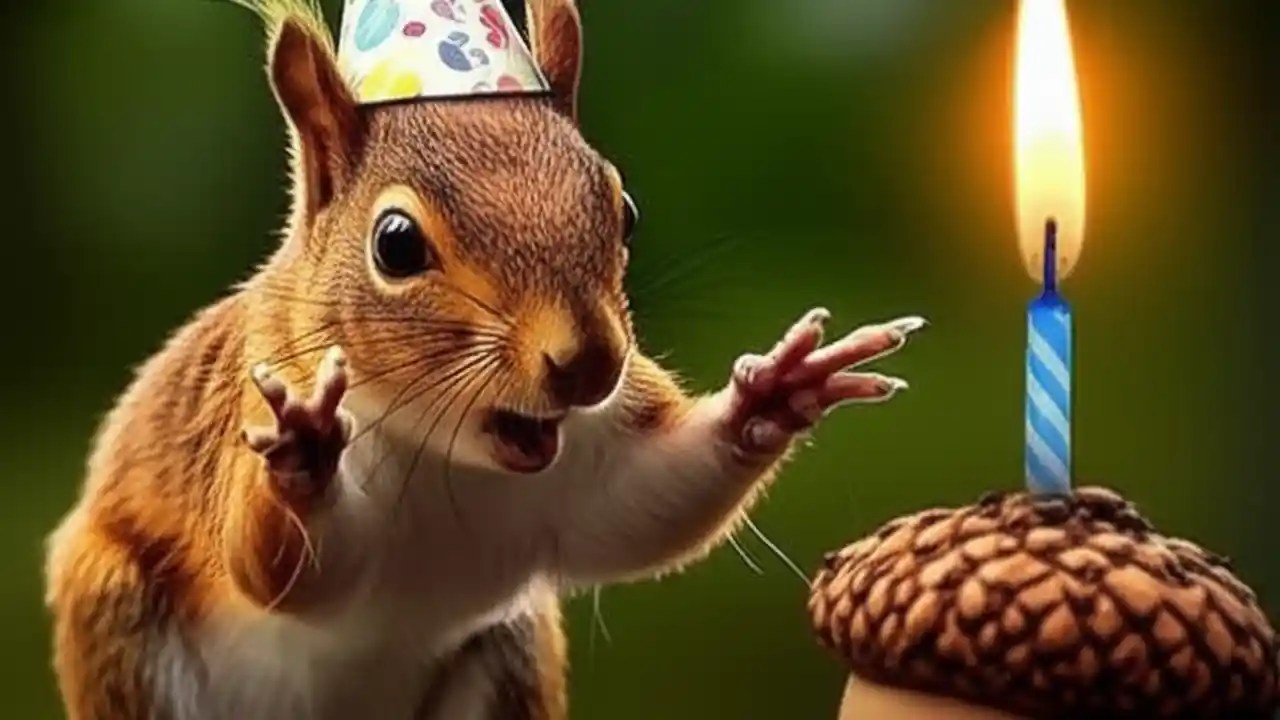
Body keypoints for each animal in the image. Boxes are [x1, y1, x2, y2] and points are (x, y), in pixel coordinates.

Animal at [43, 0, 925, 718]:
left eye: (624, 210)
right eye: (396, 245)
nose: (588, 367)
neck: (452, 464)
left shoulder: (595, 460)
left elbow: (648, 505)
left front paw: (776, 390)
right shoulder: (252, 417)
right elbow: (277, 566)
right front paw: (302, 451)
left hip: (512, 652)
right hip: (116, 620)